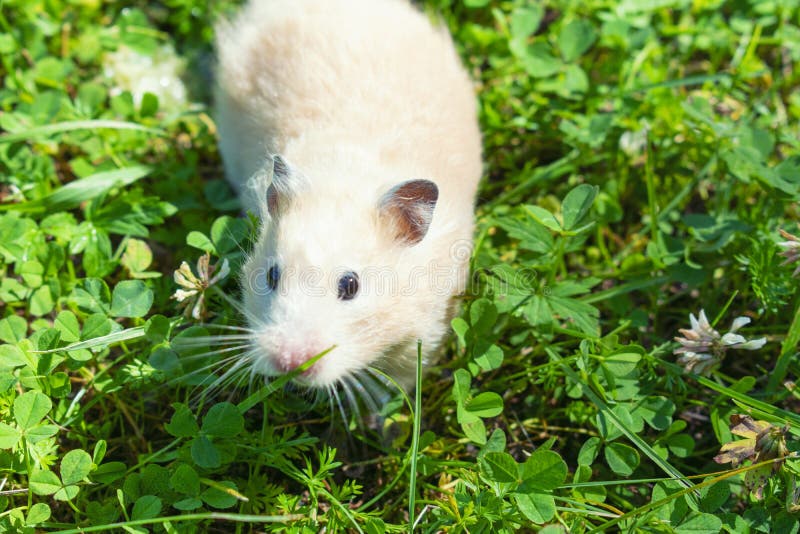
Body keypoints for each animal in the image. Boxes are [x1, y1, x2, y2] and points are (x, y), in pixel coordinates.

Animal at [213, 0, 482, 391]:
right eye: (271, 276)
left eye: (350, 286)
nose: (290, 362)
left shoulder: (426, 328)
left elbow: (402, 377)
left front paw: (384, 407)